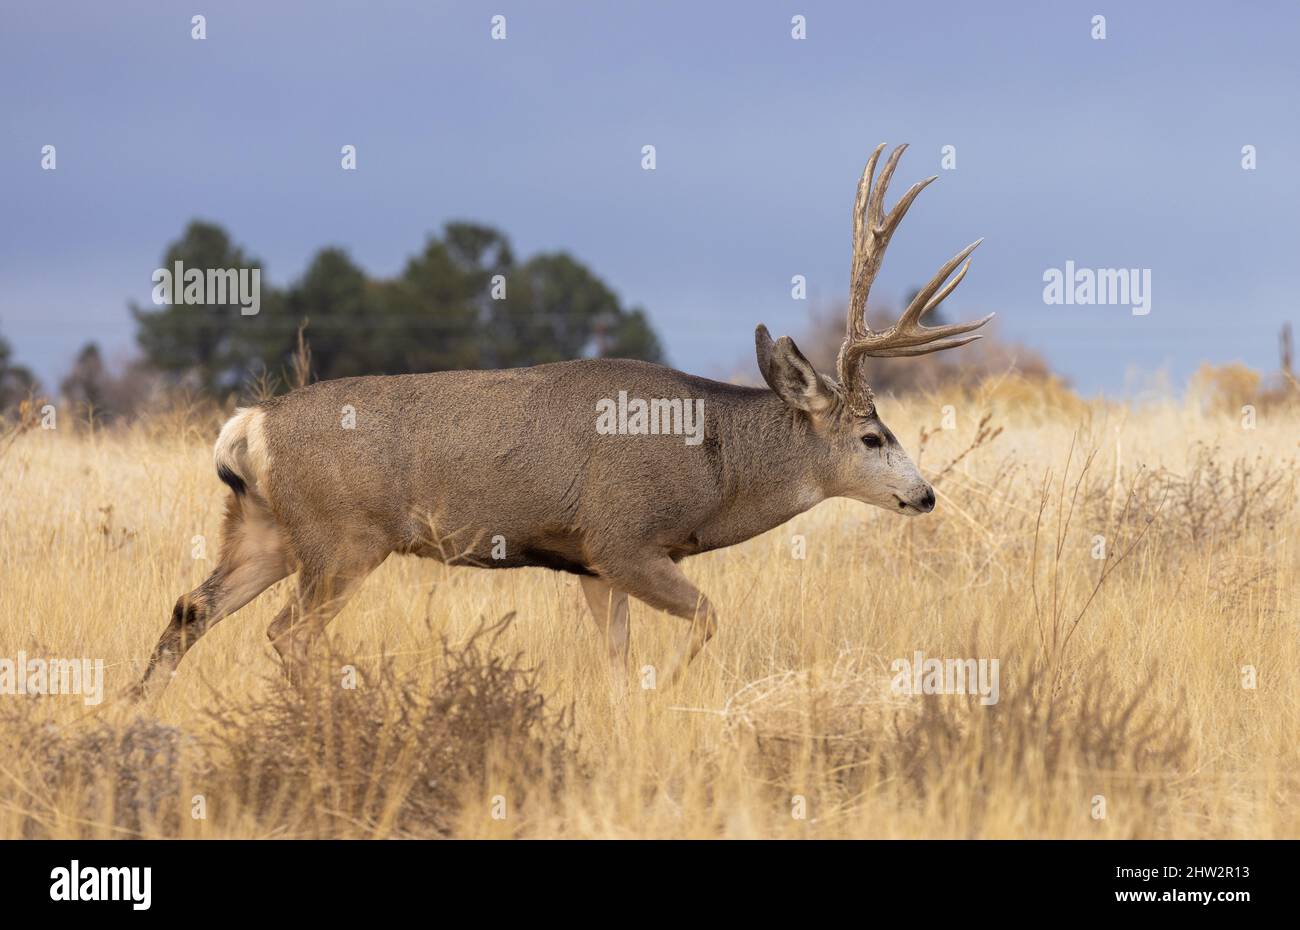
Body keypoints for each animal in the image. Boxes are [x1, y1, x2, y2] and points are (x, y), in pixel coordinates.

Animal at [134, 143, 993, 698]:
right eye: (872, 436)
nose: (925, 495)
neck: (715, 464)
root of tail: (251, 424)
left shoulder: (590, 566)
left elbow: (613, 660)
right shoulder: (624, 539)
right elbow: (706, 619)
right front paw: (667, 690)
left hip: (265, 529)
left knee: (188, 610)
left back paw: (137, 717)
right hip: (341, 539)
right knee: (287, 633)